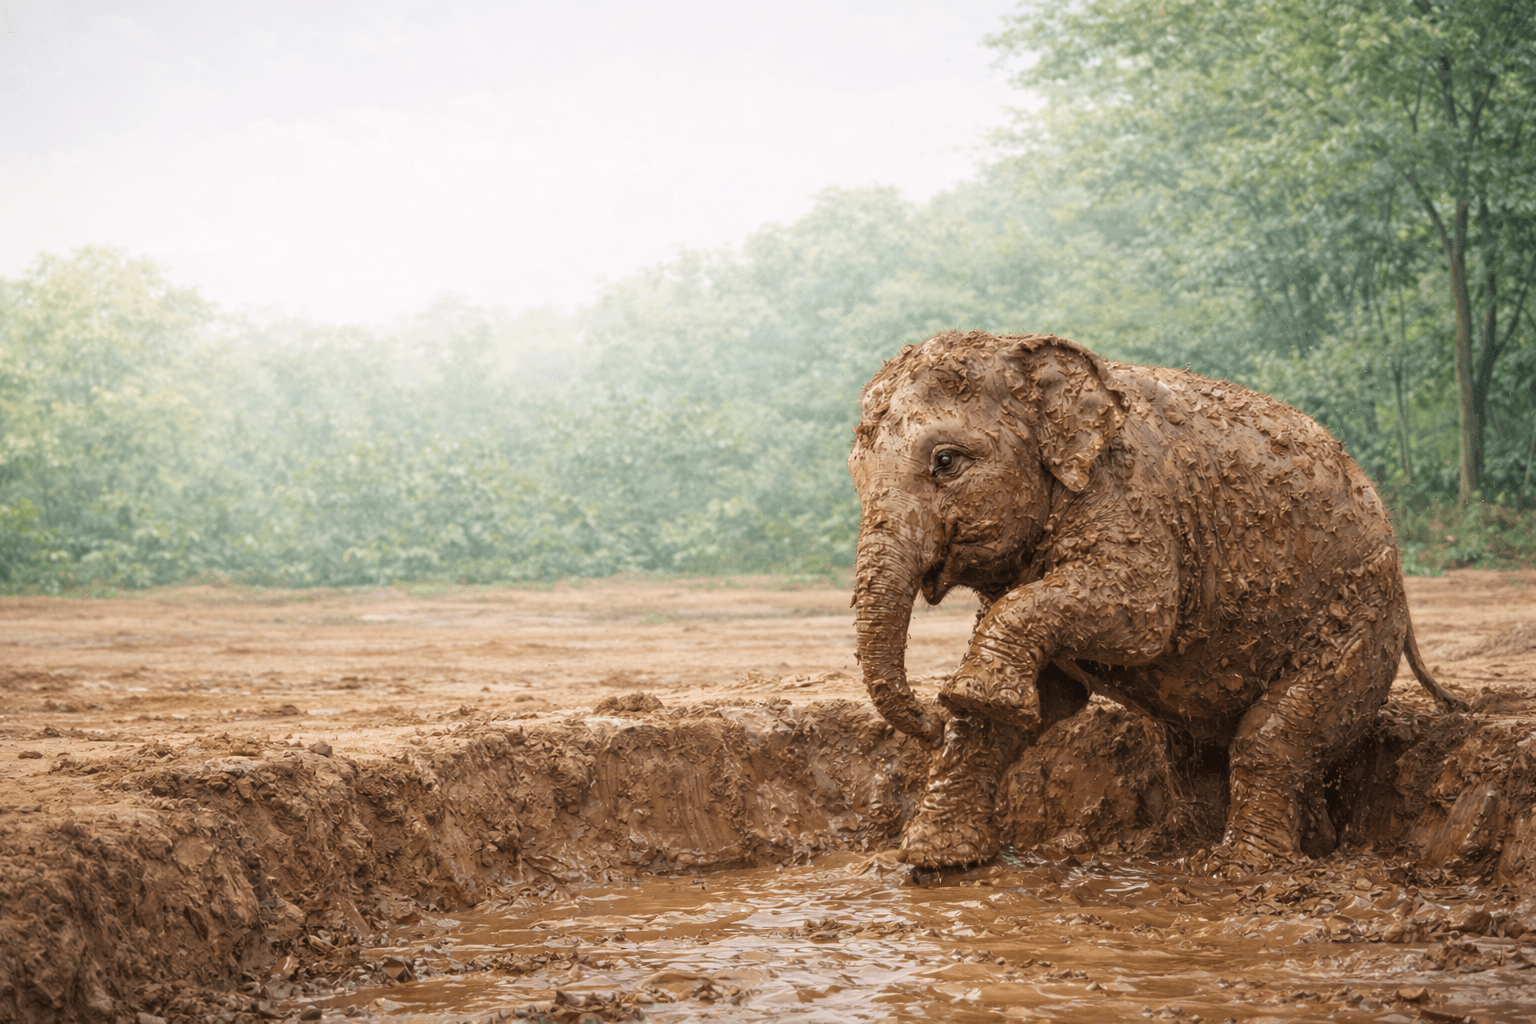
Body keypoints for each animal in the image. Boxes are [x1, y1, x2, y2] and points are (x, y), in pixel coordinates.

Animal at [848, 330, 1465, 869]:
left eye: (946, 461)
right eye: (855, 473)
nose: (928, 713)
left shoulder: (1136, 496)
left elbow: (1142, 614)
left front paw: (970, 694)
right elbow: (1044, 698)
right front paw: (935, 861)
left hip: (1358, 620)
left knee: (1274, 736)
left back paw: (1241, 868)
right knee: (1193, 755)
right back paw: (1200, 849)